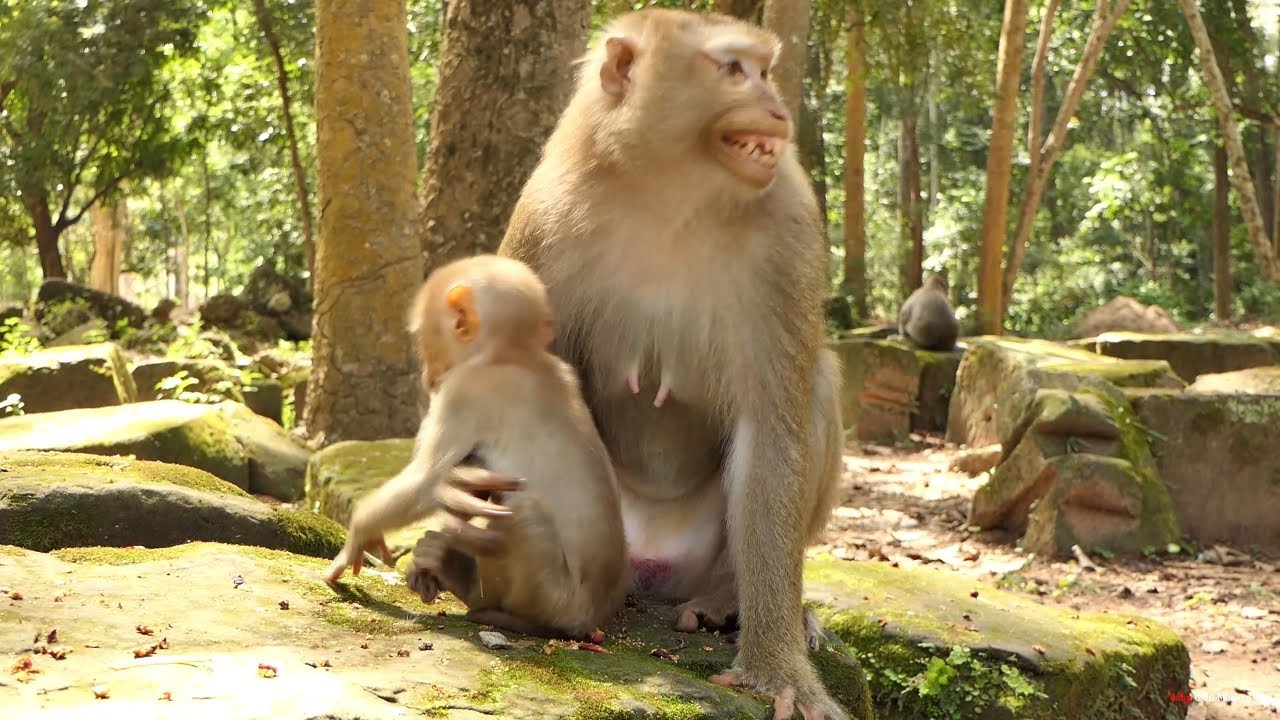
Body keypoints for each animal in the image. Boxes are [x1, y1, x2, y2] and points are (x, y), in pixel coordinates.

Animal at [324, 255, 629, 640]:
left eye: (423, 339)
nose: (426, 375)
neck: (514, 354)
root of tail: (590, 619)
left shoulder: (463, 391)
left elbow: (424, 481)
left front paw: (358, 535)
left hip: (552, 596)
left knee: (521, 513)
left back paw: (489, 603)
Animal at [497, 10, 850, 719]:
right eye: (733, 68)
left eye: (766, 70)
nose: (777, 109)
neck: (670, 196)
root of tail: (654, 564)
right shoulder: (544, 216)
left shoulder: (792, 227)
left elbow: (771, 428)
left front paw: (779, 670)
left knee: (818, 382)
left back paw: (728, 598)